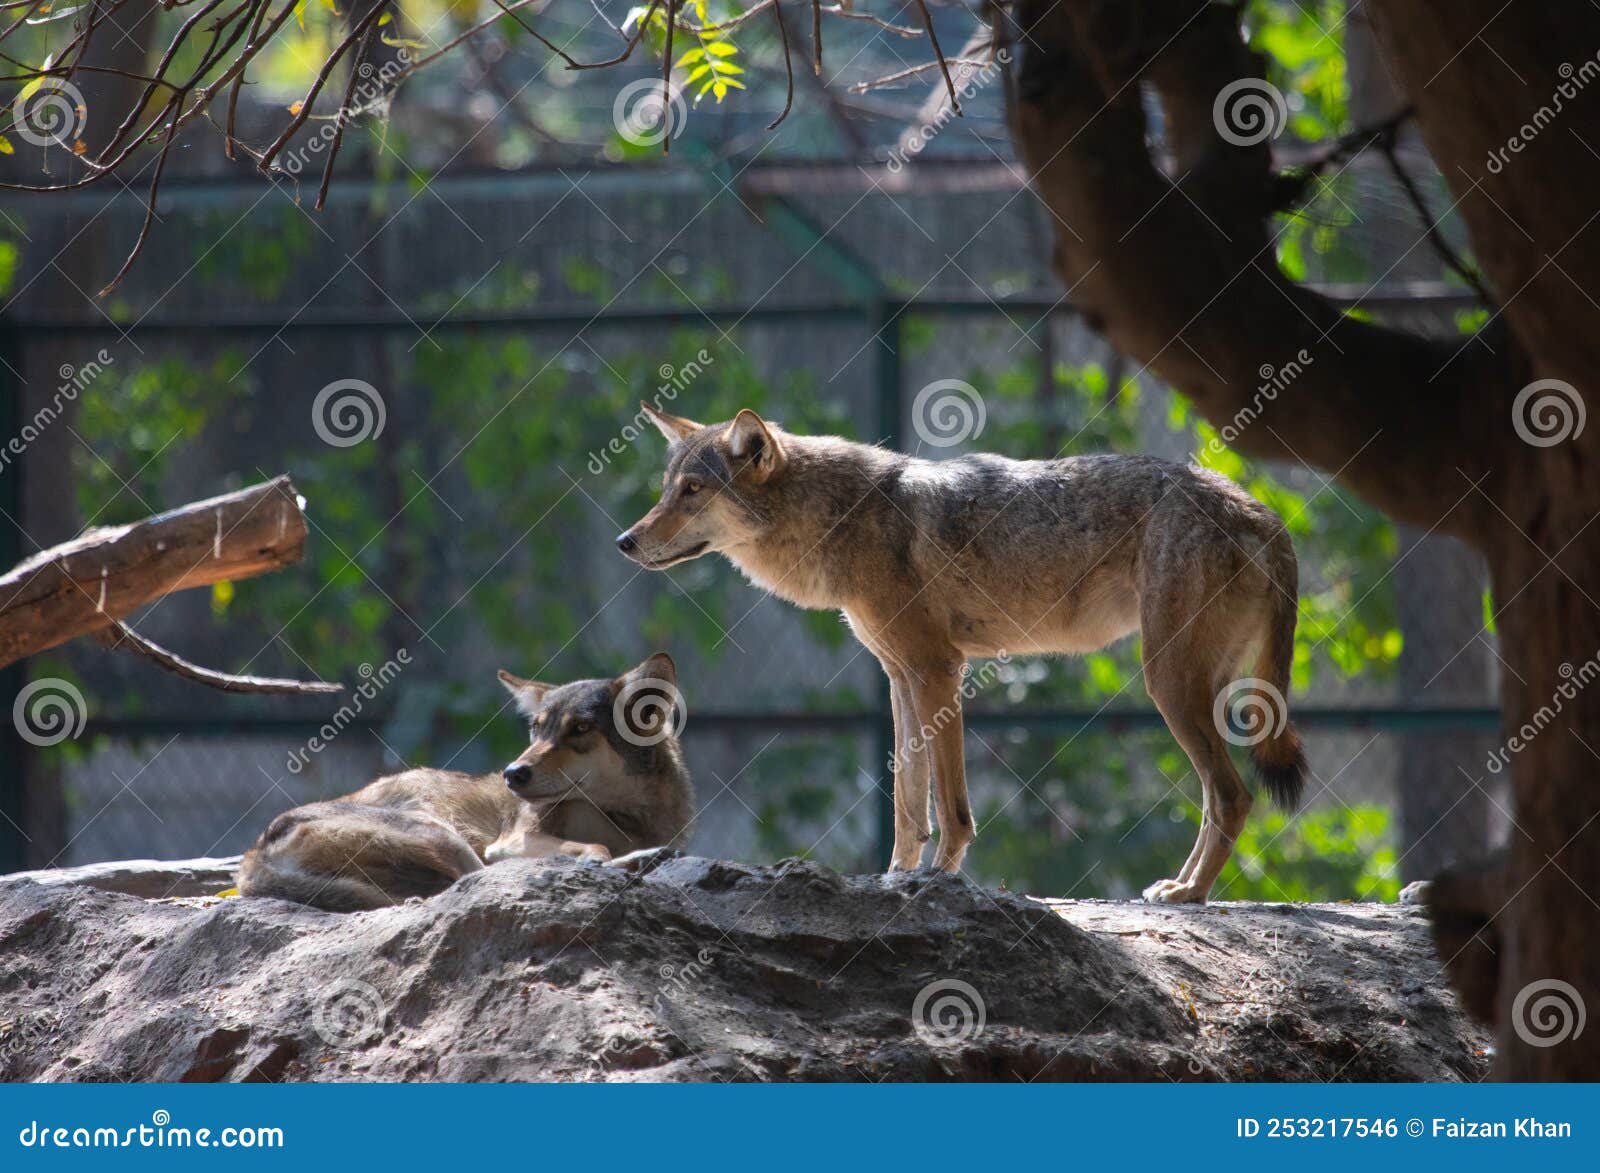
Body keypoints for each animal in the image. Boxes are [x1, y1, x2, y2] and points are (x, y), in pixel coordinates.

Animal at [238, 654, 694, 911]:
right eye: (537, 729)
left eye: (580, 728)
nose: (513, 773)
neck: (626, 816)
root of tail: (253, 853)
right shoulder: (510, 842)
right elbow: (595, 847)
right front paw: (607, 857)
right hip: (446, 839)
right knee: (473, 879)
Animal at [617, 405, 1305, 903]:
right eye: (666, 489)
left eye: (693, 490)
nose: (625, 541)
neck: (844, 519)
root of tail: (1261, 510)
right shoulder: (899, 676)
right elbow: (906, 801)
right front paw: (894, 877)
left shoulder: (937, 670)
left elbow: (950, 806)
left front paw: (938, 878)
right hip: (1195, 690)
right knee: (1219, 799)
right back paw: (1180, 887)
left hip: (1166, 684)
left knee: (1233, 796)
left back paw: (1191, 895)